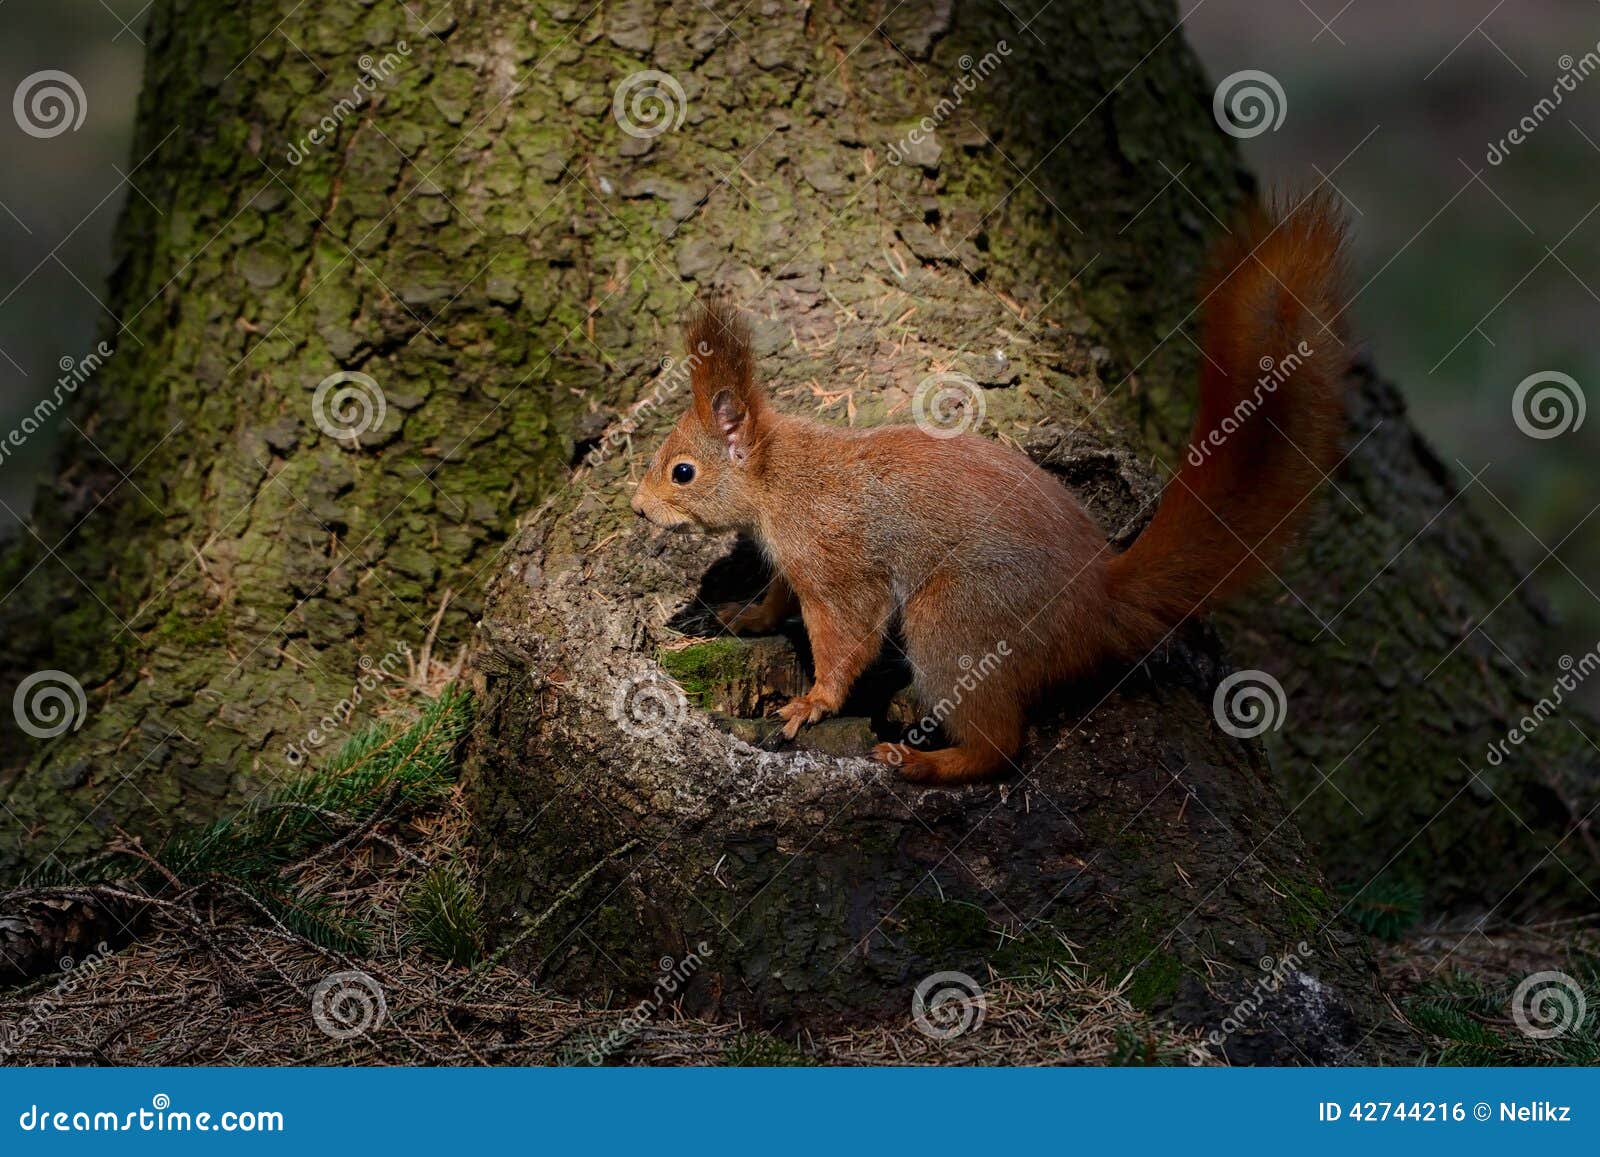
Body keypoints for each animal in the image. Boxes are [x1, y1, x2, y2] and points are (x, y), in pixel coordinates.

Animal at [631, 193, 1350, 785]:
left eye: (682, 471)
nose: (639, 507)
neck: (780, 477)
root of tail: (1098, 598)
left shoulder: (837, 563)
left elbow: (848, 636)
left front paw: (811, 704)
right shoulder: (794, 560)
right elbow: (780, 594)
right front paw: (745, 616)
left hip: (959, 621)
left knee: (1002, 745)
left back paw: (925, 762)